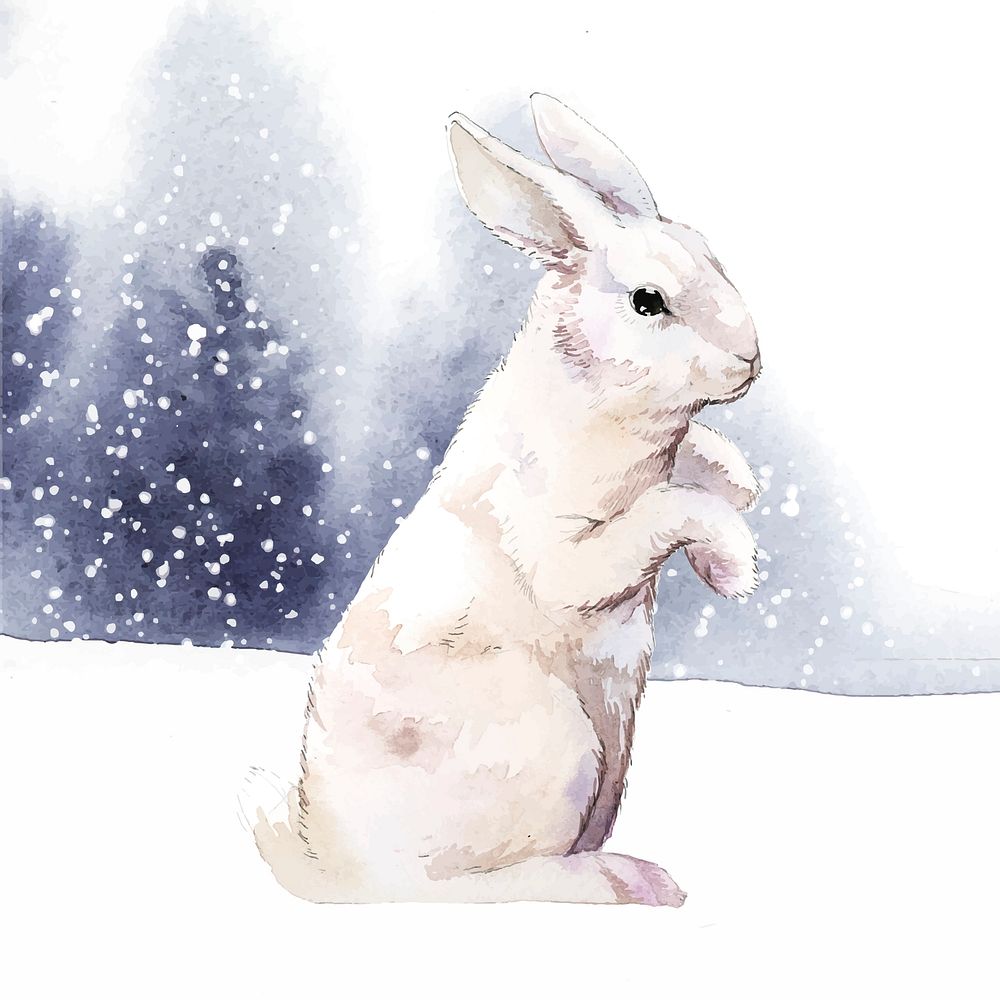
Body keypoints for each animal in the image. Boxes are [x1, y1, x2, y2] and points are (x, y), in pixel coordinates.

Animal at [249, 93, 762, 905]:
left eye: (711, 251)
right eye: (648, 301)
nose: (751, 356)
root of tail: (338, 869)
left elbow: (714, 467)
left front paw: (732, 523)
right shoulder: (566, 550)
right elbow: (665, 515)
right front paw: (738, 569)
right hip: (560, 746)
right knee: (482, 885)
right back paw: (637, 884)